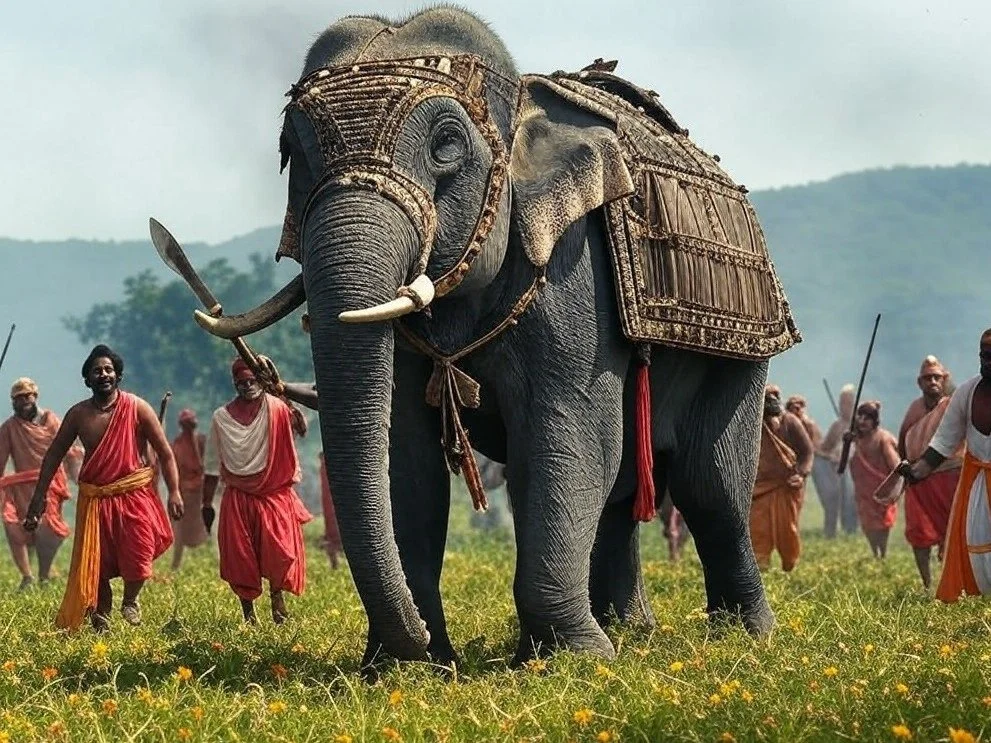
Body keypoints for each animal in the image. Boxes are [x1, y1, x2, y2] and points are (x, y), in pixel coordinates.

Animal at [192, 6, 801, 667]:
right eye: (288, 153)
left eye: (446, 146)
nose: (415, 638)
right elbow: (407, 454)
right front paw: (412, 667)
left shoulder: (570, 268)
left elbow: (569, 433)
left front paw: (570, 663)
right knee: (622, 489)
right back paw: (630, 630)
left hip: (747, 349)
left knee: (708, 483)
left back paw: (743, 636)